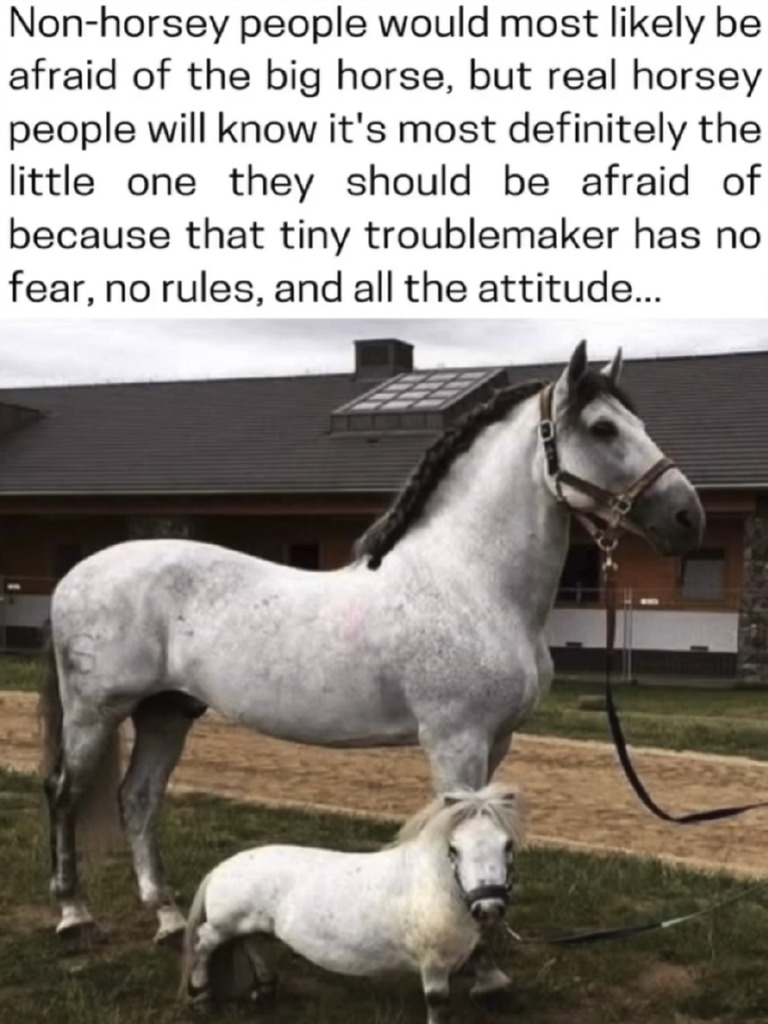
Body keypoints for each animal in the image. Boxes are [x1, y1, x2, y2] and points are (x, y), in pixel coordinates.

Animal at [38, 340, 704, 974]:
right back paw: (74, 916)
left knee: (138, 799)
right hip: (96, 712)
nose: (687, 516)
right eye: (602, 428)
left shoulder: (496, 741)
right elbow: (461, 827)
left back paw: (168, 919)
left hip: (166, 711)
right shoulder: (455, 741)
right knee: (66, 793)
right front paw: (477, 964)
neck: (470, 582)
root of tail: (75, 575)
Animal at [179, 783, 524, 1022]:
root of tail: (221, 867)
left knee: (250, 943)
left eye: (508, 845)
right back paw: (201, 997)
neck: (435, 886)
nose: (489, 907)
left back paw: (264, 990)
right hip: (225, 923)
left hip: (252, 922)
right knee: (203, 944)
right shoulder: (434, 964)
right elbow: (439, 1007)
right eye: (454, 849)